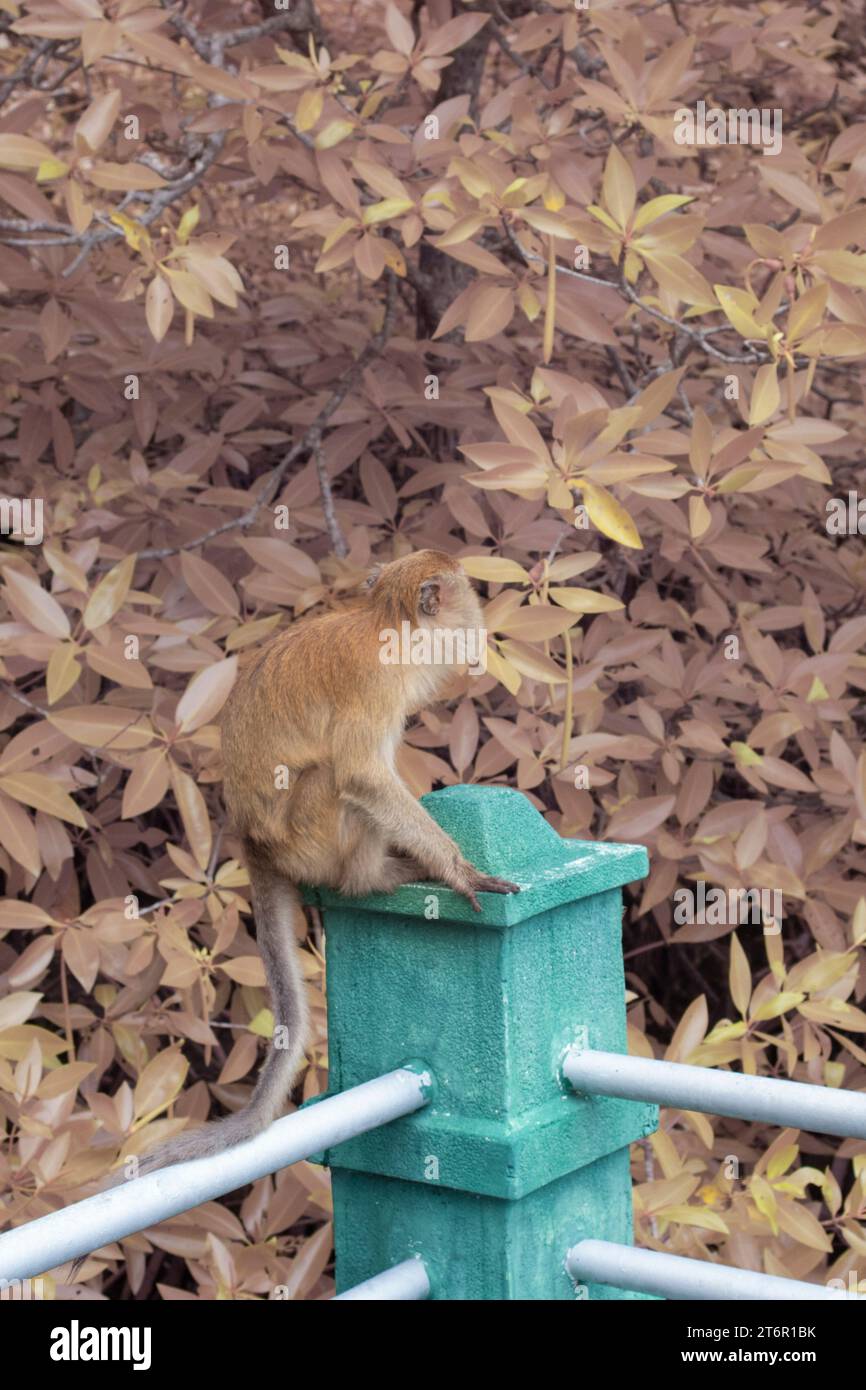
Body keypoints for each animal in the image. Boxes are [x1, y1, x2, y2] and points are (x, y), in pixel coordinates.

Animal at [125, 549, 520, 1179]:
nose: (479, 622)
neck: (387, 624)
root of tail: (254, 842)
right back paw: (371, 877)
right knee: (339, 778)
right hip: (309, 837)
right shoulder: (376, 686)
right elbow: (362, 775)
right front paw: (455, 869)